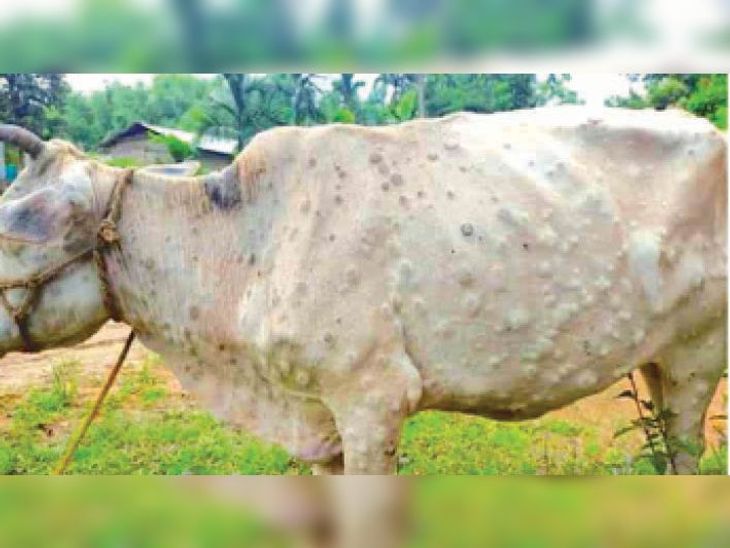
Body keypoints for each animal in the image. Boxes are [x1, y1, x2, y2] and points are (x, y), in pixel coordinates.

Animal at [0, 107, 726, 474]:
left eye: (19, 229)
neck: (250, 243)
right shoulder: (316, 418)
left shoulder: (373, 402)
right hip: (656, 358)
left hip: (699, 353)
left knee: (686, 453)